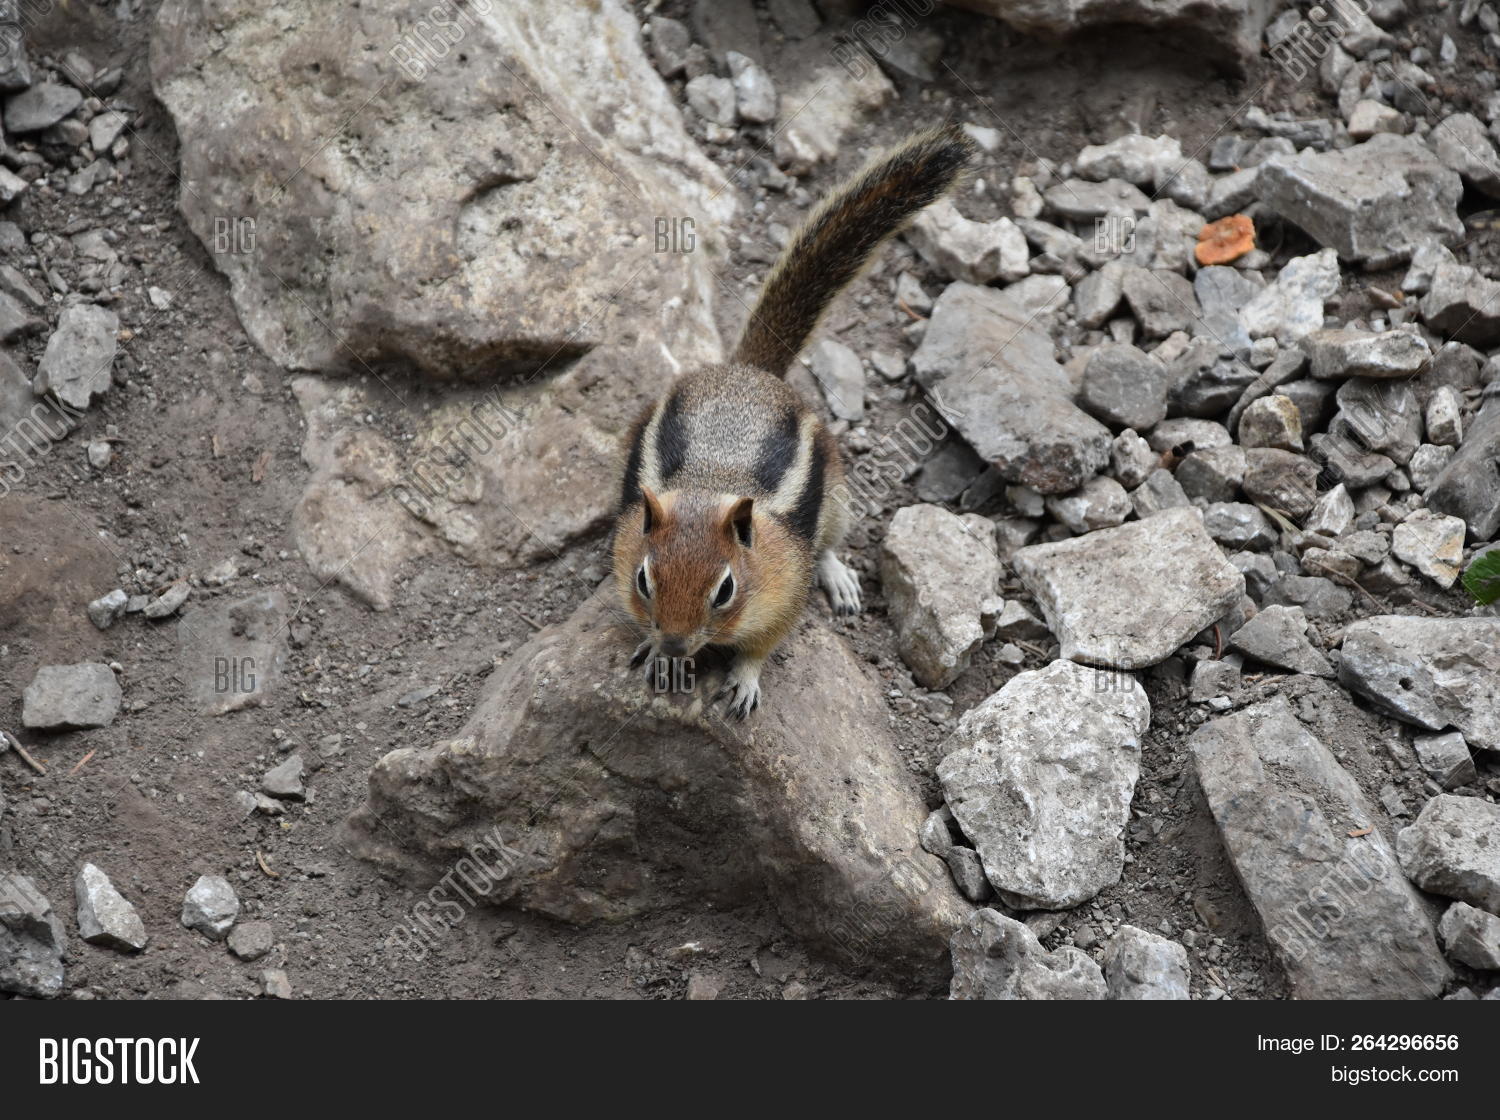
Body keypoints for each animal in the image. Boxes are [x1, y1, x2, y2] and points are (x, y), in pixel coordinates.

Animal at [612, 123, 976, 719]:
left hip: (835, 492)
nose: (676, 642)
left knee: (827, 540)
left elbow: (766, 643)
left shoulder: (782, 590)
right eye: (644, 579)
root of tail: (751, 372)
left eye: (725, 590)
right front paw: (652, 650)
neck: (709, 488)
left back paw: (838, 577)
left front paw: (745, 680)